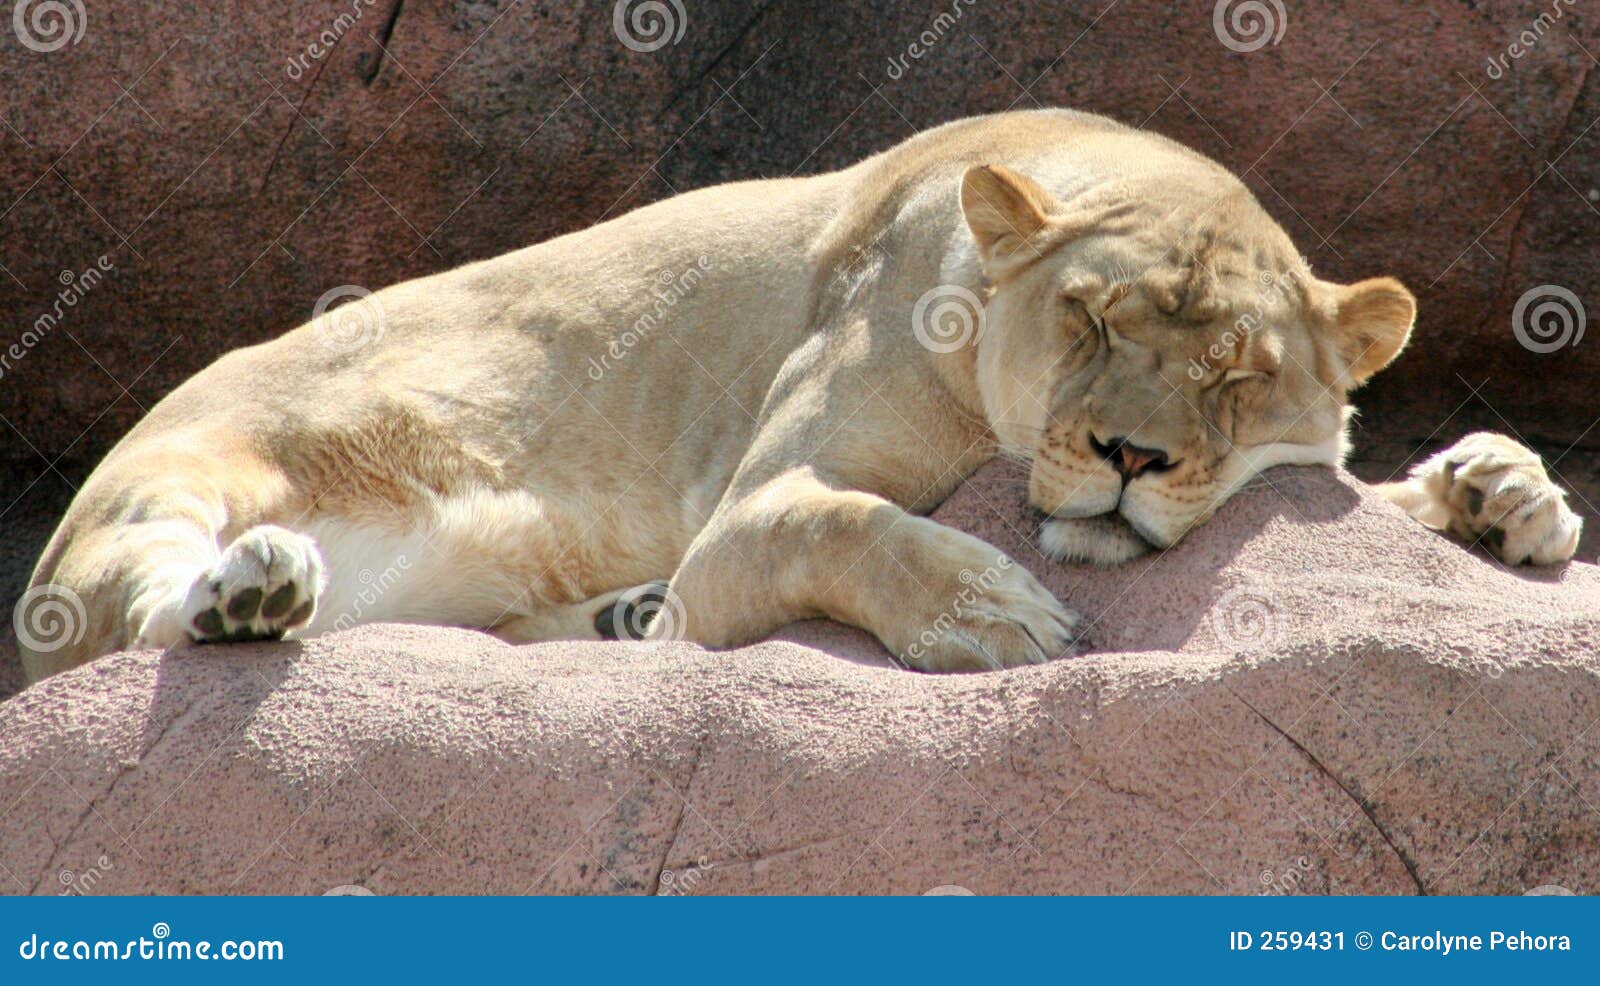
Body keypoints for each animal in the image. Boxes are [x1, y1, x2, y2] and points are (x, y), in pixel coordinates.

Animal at [18, 108, 1582, 682]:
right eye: (1086, 318)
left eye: (1238, 377)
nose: (1130, 453)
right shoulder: (756, 507)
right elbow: (836, 523)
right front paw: (994, 608)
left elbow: (1370, 483)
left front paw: (1499, 495)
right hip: (163, 493)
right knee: (135, 616)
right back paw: (251, 592)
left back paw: (624, 619)